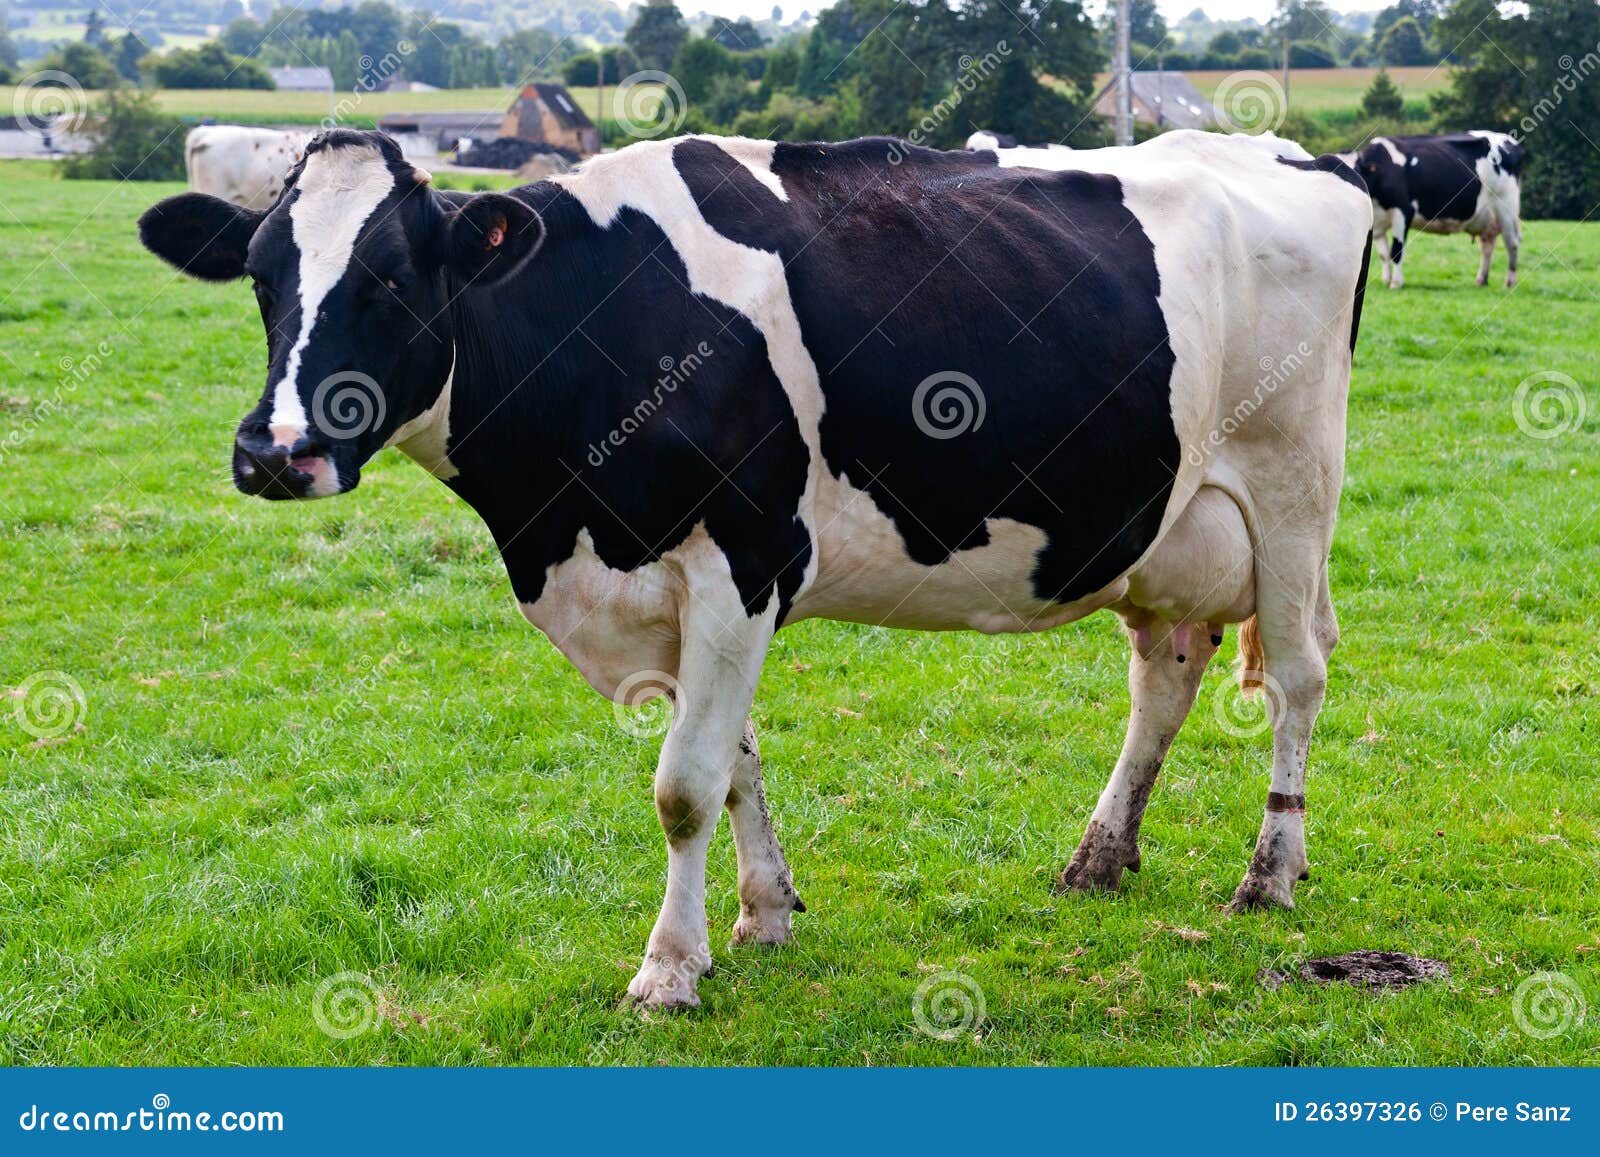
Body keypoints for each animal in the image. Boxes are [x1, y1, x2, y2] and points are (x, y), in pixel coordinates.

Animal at [137, 128, 1371, 1009]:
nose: (275, 451)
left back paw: (1270, 870)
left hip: (1293, 486)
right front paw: (764, 912)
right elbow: (732, 759)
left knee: (1299, 674)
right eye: (259, 278)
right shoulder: (679, 594)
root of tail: (1297, 154)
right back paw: (1099, 855)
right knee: (1163, 673)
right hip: (1167, 523)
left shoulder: (740, 557)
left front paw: (668, 969)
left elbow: (683, 782)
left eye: (394, 278)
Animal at [1352, 132, 1524, 289]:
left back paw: (1510, 282)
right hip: (1487, 215)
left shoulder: (1403, 211)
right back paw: (1481, 280)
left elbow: (1396, 250)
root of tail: (1509, 140)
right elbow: (1383, 254)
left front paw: (1395, 283)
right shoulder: (1377, 221)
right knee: (1487, 244)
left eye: (1358, 173)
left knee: (1512, 243)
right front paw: (1386, 280)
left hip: (1506, 206)